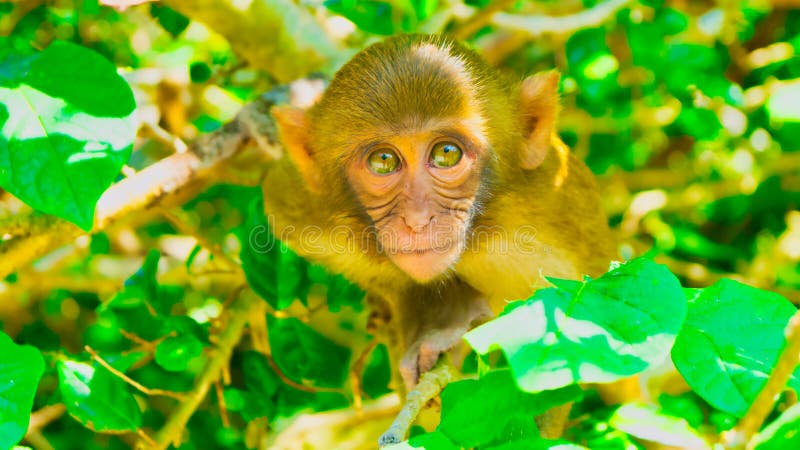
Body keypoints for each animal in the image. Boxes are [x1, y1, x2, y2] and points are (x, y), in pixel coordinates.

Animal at [262, 34, 615, 442]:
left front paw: (451, 330)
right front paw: (432, 327)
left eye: (447, 154)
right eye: (383, 161)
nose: (417, 220)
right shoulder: (303, 211)